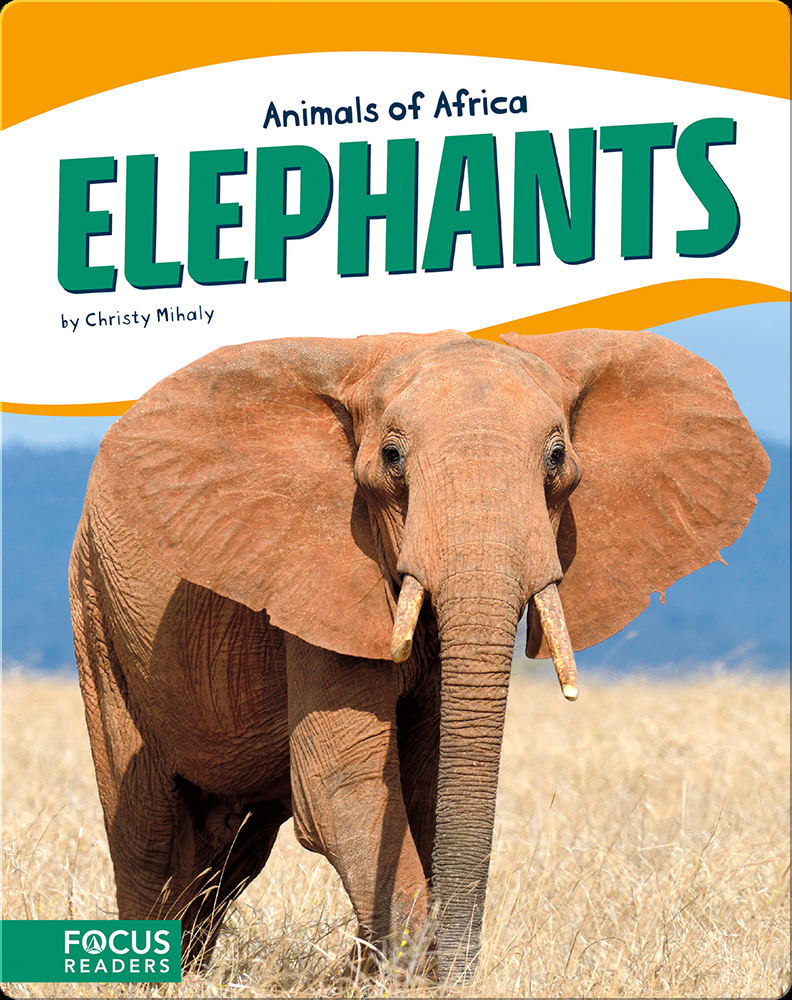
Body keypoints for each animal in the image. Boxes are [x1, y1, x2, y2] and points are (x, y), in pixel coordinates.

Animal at [69, 326, 769, 980]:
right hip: (96, 608)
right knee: (149, 834)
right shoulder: (320, 572)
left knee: (230, 850)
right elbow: (341, 782)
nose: (461, 973)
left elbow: (429, 781)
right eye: (392, 457)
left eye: (557, 458)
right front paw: (408, 975)